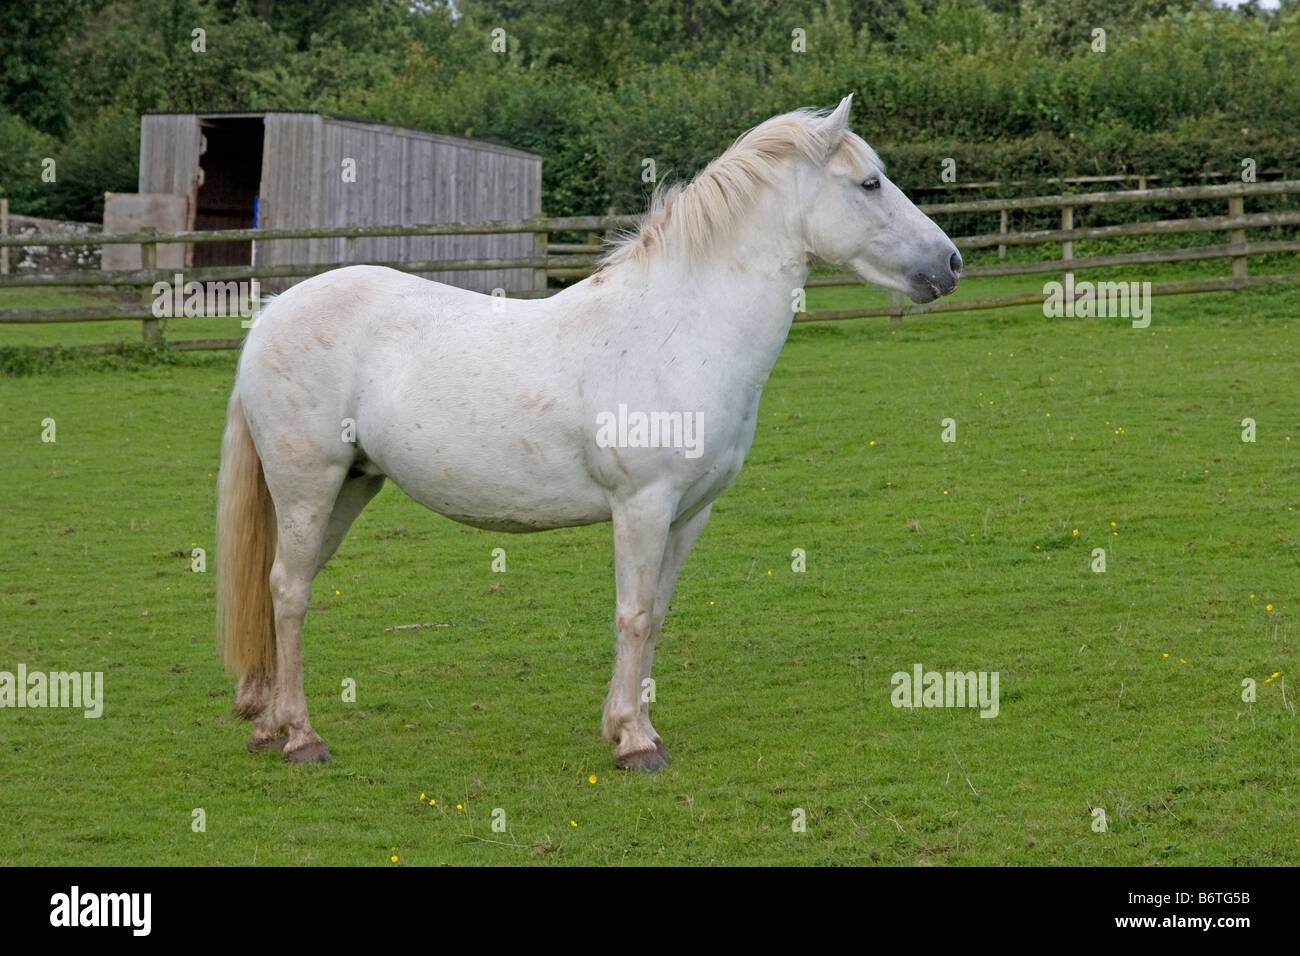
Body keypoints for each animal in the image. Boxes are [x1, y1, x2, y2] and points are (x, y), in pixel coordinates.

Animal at [216, 94, 961, 769]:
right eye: (869, 183)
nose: (950, 263)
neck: (680, 330)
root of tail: (273, 312)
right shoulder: (642, 506)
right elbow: (631, 615)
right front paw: (634, 743)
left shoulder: (689, 512)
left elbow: (655, 615)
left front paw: (637, 727)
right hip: (308, 485)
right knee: (288, 592)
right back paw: (302, 737)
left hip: (348, 487)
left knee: (287, 587)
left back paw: (269, 727)